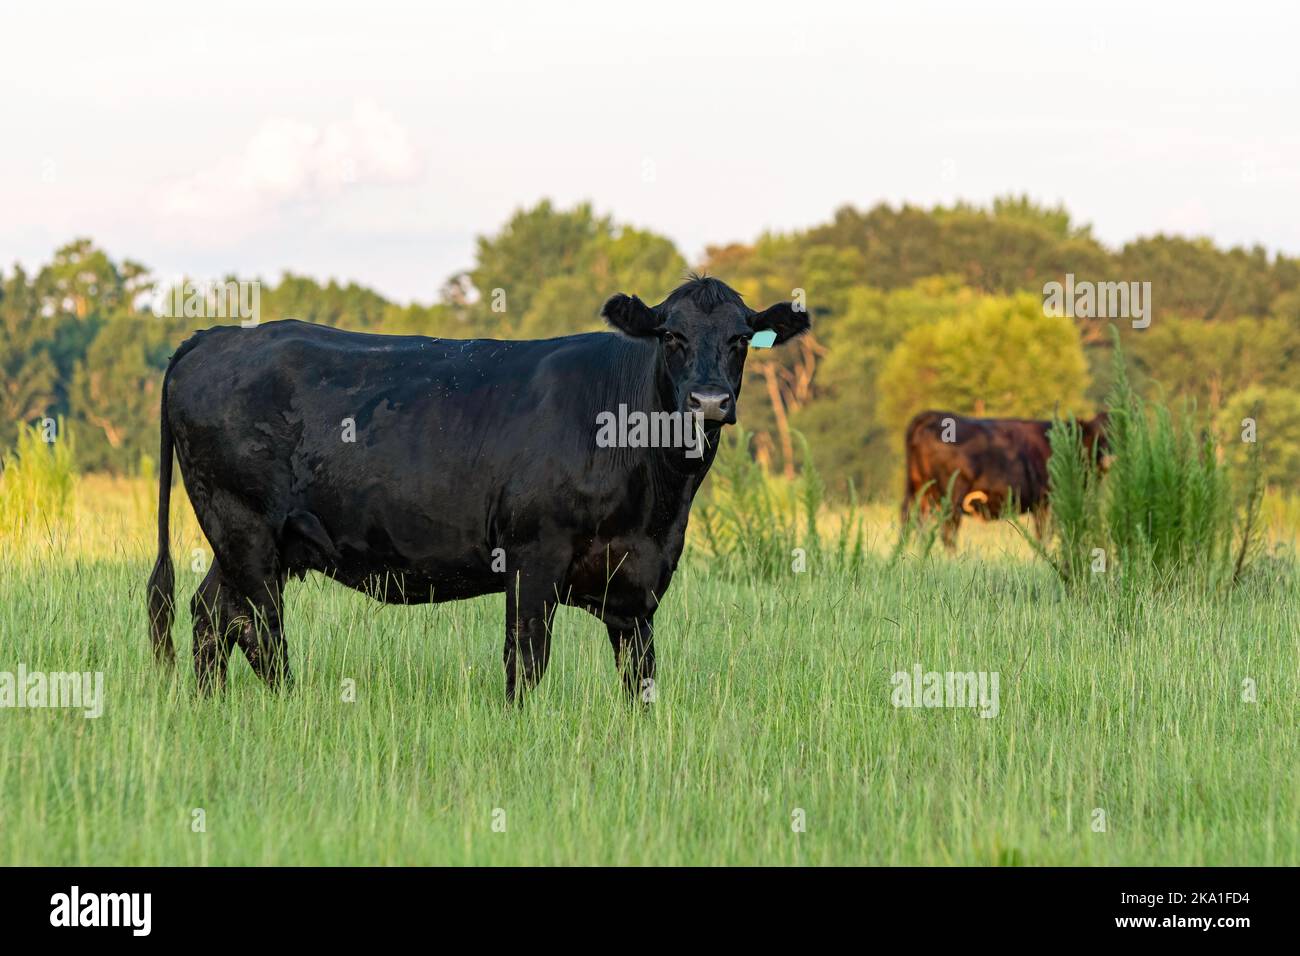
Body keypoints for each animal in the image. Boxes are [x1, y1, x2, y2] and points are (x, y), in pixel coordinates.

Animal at [146, 276, 810, 702]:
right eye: (672, 336)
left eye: (740, 339)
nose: (709, 401)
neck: (659, 500)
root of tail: (213, 336)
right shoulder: (532, 556)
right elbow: (527, 664)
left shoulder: (638, 579)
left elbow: (640, 679)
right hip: (244, 525)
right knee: (258, 629)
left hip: (252, 542)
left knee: (210, 616)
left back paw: (212, 707)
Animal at [900, 410, 1110, 547]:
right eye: (1098, 436)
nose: (1110, 459)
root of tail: (930, 415)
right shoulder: (1046, 502)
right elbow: (1046, 536)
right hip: (950, 497)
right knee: (947, 533)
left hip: (918, 491)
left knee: (914, 525)